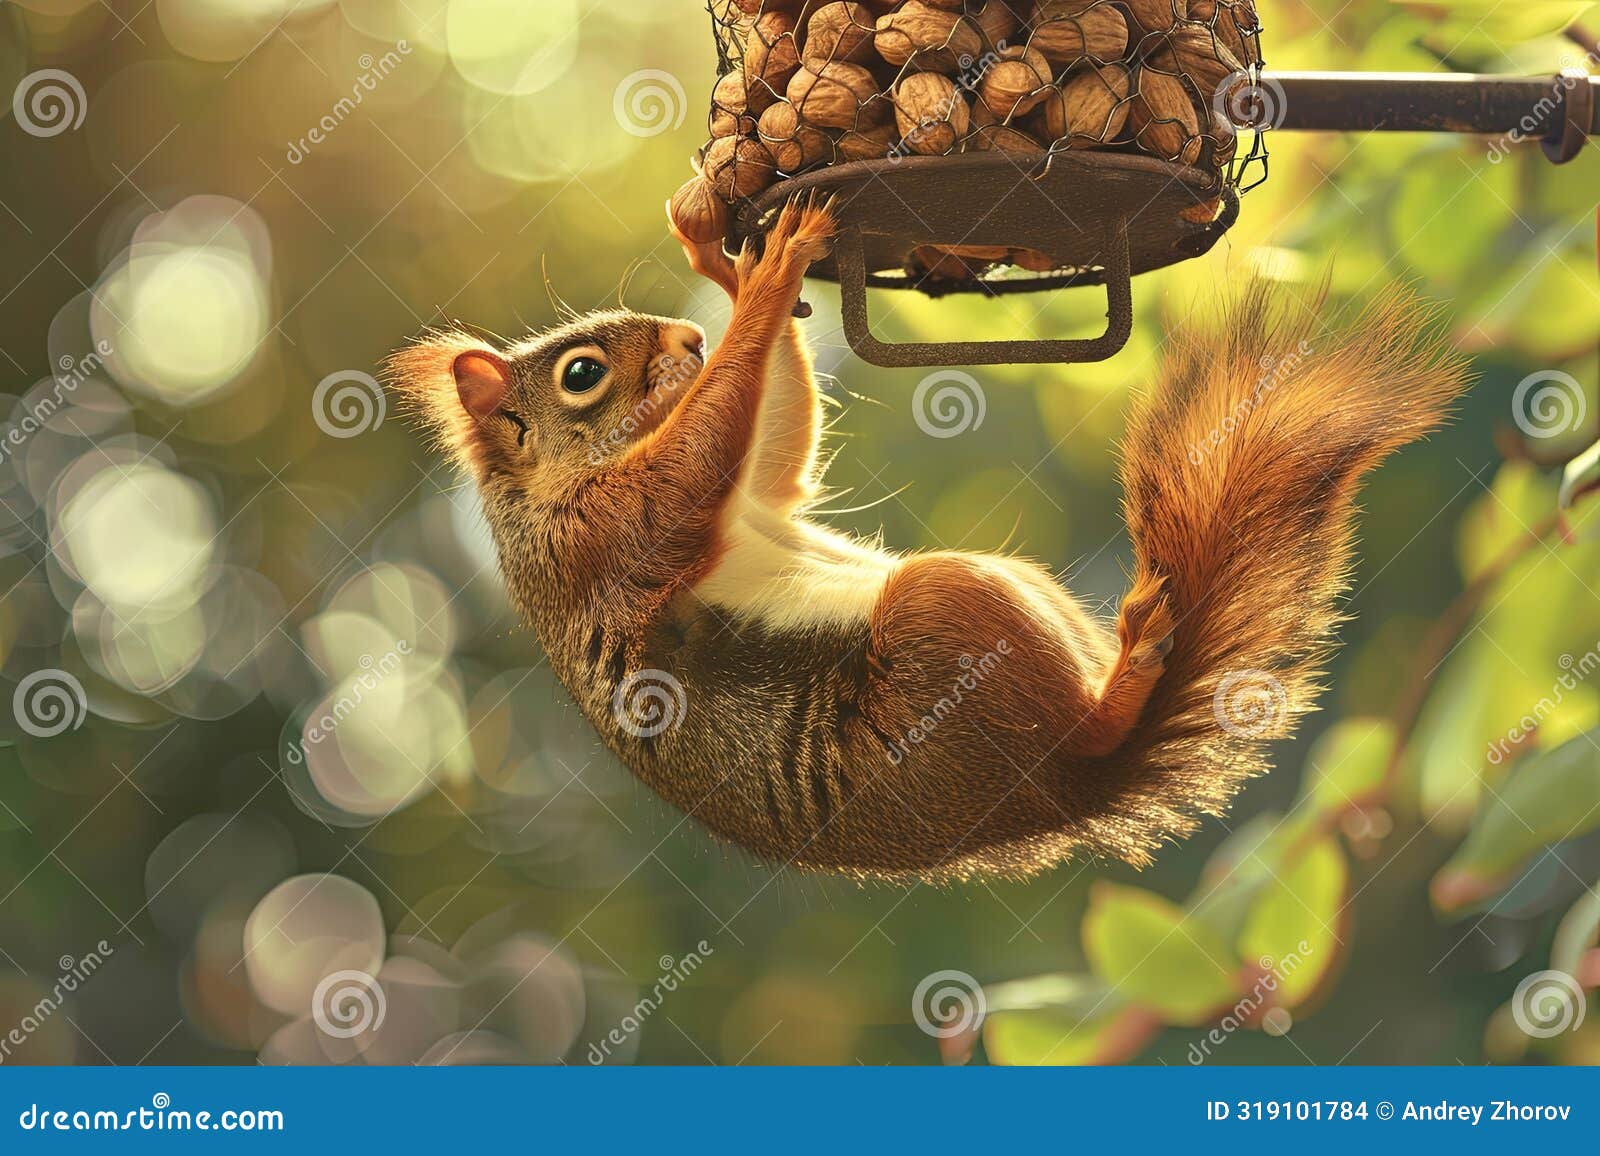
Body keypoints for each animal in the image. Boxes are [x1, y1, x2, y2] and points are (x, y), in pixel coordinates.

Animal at [387, 195, 1470, 883]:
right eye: (581, 374)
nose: (690, 342)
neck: (541, 498)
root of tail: (1056, 798)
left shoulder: (758, 499)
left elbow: (773, 447)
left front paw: (721, 256)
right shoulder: (607, 537)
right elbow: (690, 470)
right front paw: (771, 270)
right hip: (944, 617)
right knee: (1086, 723)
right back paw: (1127, 683)